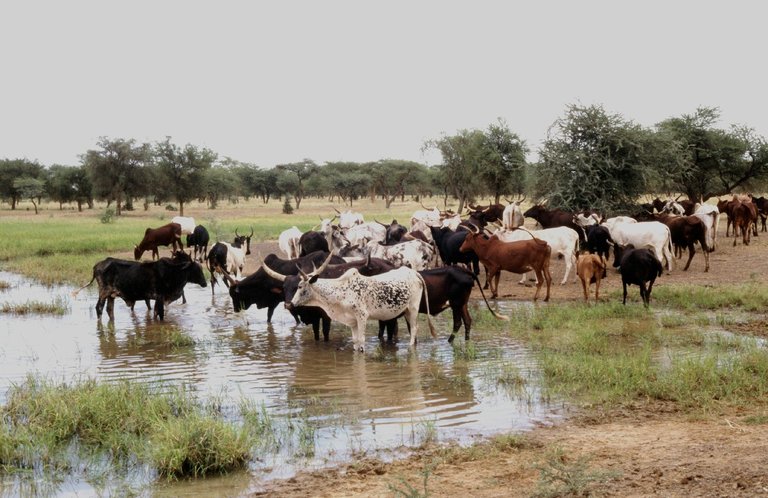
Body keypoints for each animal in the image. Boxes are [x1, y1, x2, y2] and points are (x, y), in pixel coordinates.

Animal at [73, 253, 207, 321]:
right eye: (196, 269)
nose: (205, 283)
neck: (172, 272)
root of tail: (97, 265)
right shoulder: (160, 297)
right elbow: (161, 315)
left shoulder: (158, 299)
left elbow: (155, 313)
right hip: (103, 292)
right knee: (99, 308)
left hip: (111, 295)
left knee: (109, 310)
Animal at [263, 254, 437, 351]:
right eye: (284, 288)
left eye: (299, 286)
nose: (290, 304)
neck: (340, 292)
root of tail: (413, 272)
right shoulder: (352, 322)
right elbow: (355, 342)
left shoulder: (362, 317)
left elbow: (361, 342)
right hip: (405, 311)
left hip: (413, 309)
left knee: (414, 329)